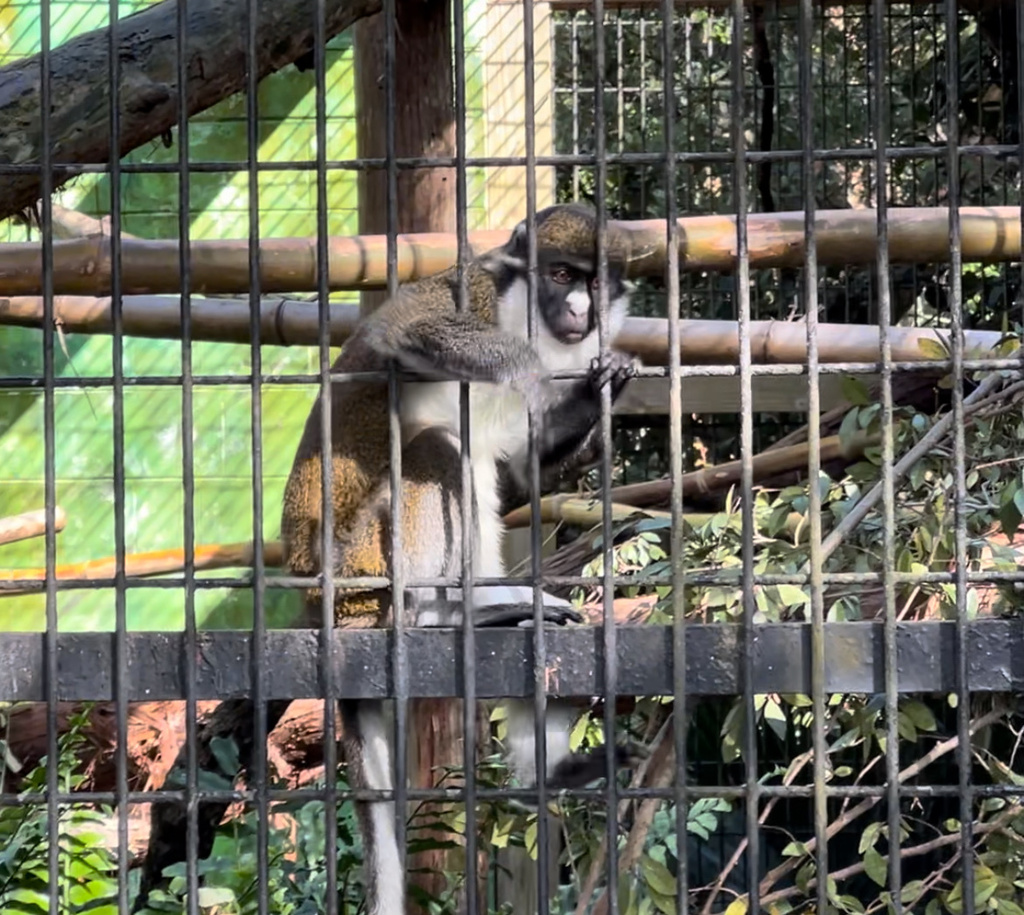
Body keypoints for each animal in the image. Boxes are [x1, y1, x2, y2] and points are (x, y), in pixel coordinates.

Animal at [275, 203, 640, 914]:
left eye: (593, 279)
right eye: (560, 274)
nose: (578, 307)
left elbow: (524, 470)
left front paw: (600, 392)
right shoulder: (472, 291)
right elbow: (402, 326)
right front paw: (531, 370)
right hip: (364, 572)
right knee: (441, 448)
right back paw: (447, 615)